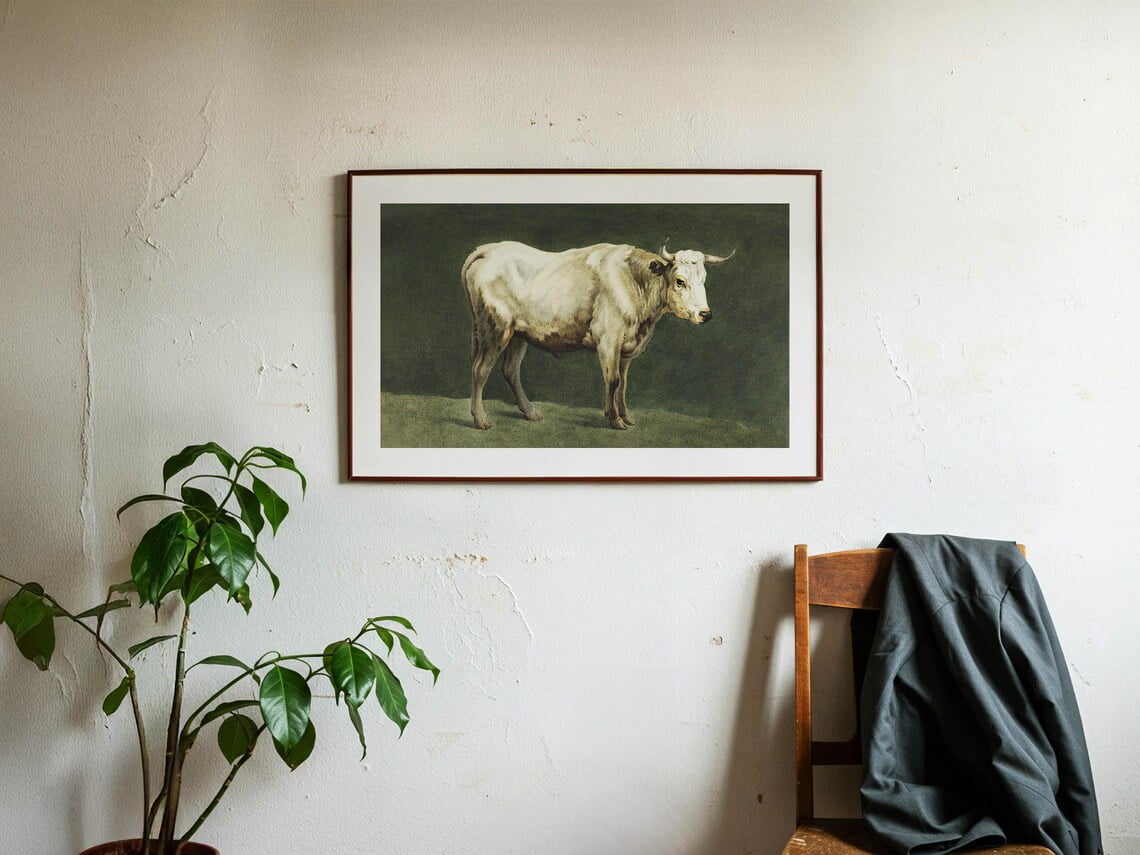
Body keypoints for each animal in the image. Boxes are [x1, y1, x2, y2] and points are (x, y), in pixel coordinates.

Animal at [461, 240, 734, 430]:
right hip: (495, 328)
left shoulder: (626, 347)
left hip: (518, 334)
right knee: (480, 370)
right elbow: (612, 380)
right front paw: (614, 420)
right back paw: (480, 419)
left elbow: (622, 384)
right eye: (680, 281)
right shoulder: (608, 339)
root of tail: (488, 249)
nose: (705, 314)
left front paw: (625, 416)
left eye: (704, 279)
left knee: (510, 369)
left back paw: (530, 412)